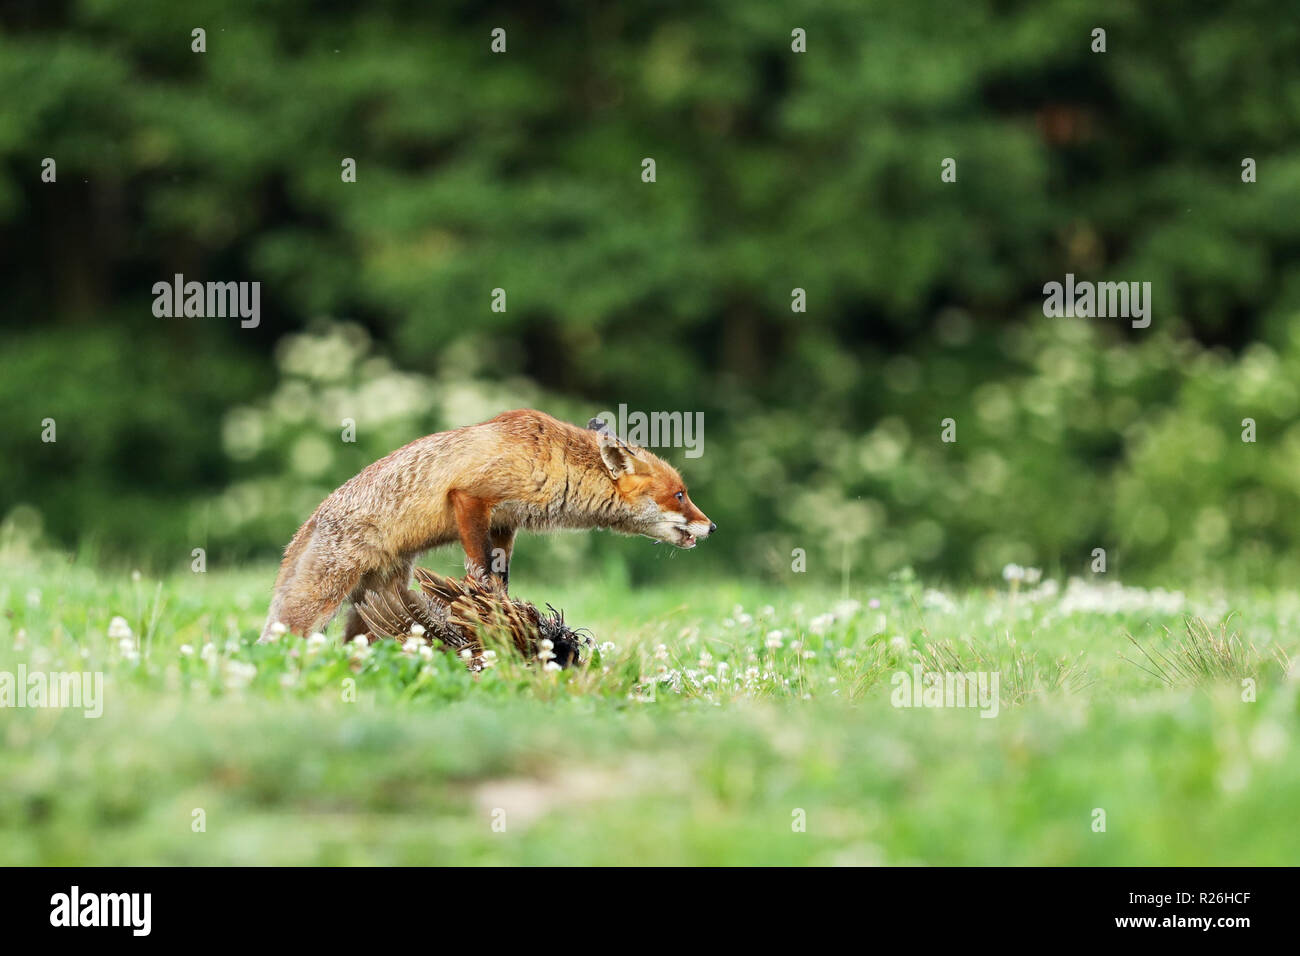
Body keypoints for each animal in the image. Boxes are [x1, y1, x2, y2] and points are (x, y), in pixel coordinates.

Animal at [259, 409, 715, 642]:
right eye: (680, 495)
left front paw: (499, 608)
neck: (551, 458)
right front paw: (484, 611)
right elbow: (478, 568)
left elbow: (500, 576)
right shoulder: (469, 497)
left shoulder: (504, 525)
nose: (712, 528)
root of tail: (313, 517)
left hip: (372, 605)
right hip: (319, 601)